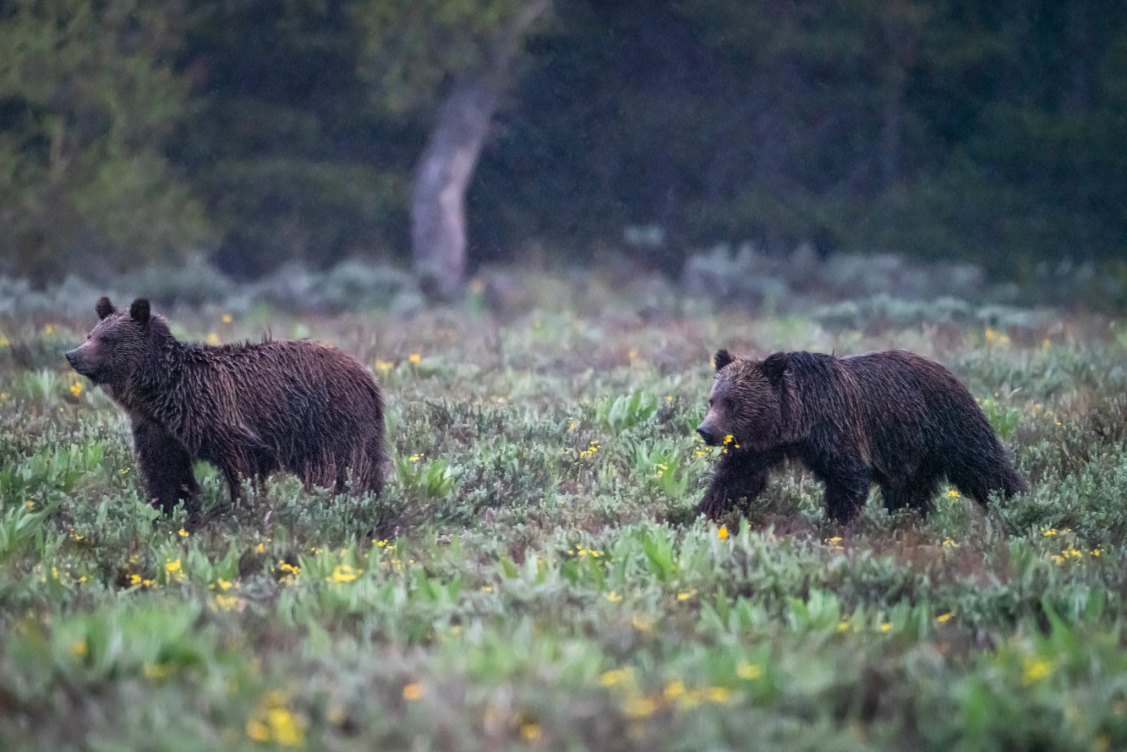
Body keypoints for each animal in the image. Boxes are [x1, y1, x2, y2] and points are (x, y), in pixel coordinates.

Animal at [65, 297, 387, 515]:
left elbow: (241, 470)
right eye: (90, 334)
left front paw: (241, 506)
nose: (72, 354)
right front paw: (170, 507)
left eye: (107, 339)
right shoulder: (157, 428)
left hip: (331, 422)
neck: (162, 395)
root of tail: (367, 374)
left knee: (342, 469)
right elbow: (165, 470)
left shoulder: (224, 420)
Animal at [695, 348, 1026, 523]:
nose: (705, 431)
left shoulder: (838, 430)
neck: (797, 422)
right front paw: (705, 512)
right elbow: (736, 479)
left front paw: (835, 525)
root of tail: (949, 372)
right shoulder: (759, 446)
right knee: (909, 493)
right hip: (909, 454)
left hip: (949, 425)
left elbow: (847, 479)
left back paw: (1018, 503)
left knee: (984, 467)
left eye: (733, 403)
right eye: (713, 400)